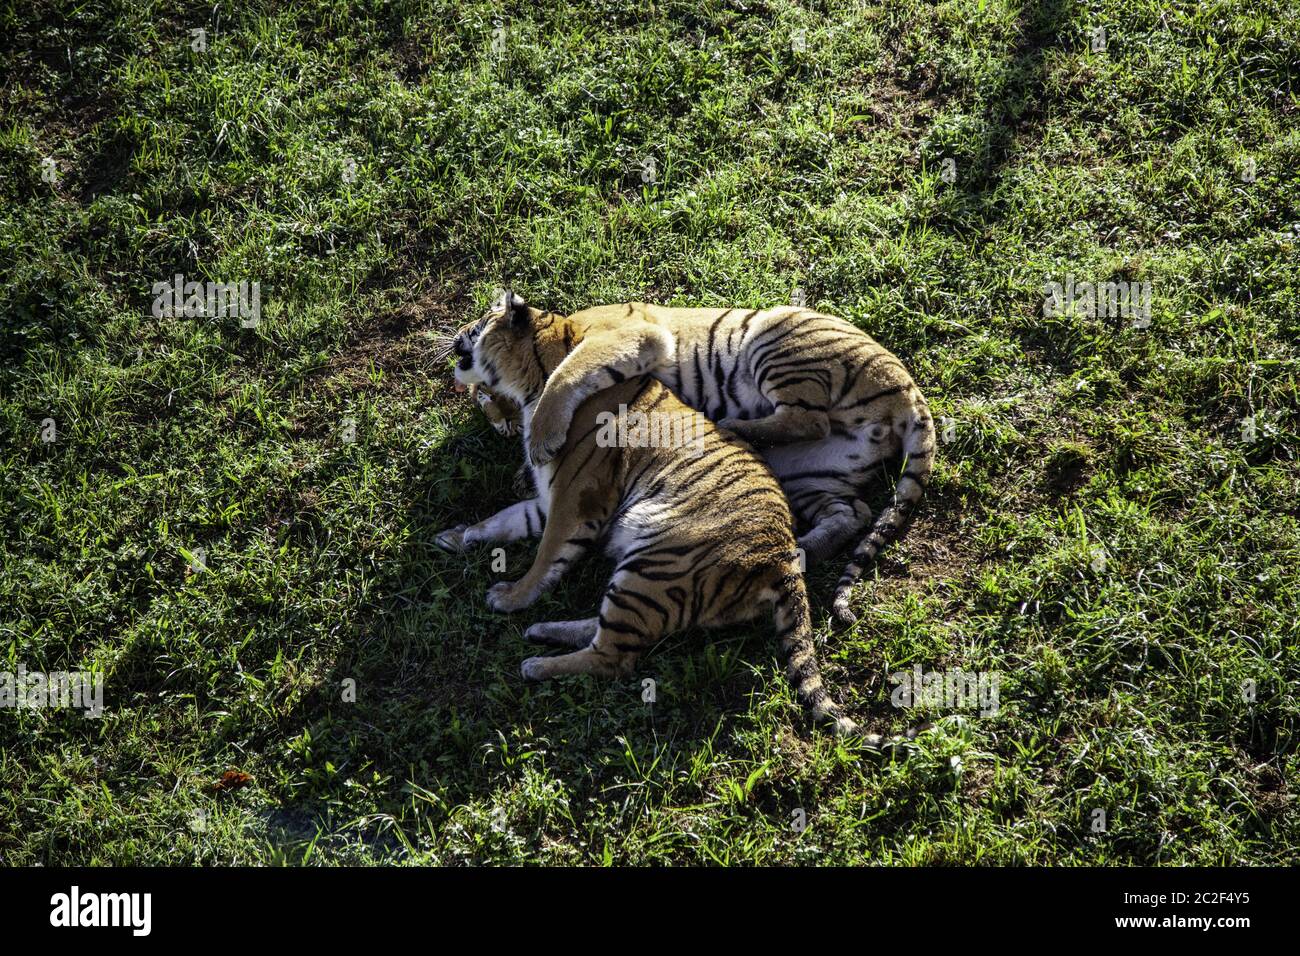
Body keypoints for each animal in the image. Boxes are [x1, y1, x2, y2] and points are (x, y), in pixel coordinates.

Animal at [434, 292, 859, 736]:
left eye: (480, 321)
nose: (454, 334)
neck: (534, 378)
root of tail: (783, 560)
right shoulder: (551, 497)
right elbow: (507, 519)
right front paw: (458, 536)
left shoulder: (575, 497)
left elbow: (546, 556)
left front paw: (512, 597)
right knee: (610, 630)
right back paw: (543, 630)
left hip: (653, 565)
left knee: (614, 657)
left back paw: (536, 663)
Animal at [512, 300, 936, 624]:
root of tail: (905, 384)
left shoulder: (630, 335)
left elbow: (568, 372)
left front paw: (541, 438)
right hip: (808, 469)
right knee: (852, 510)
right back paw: (801, 551)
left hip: (775, 334)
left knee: (809, 419)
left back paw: (733, 425)